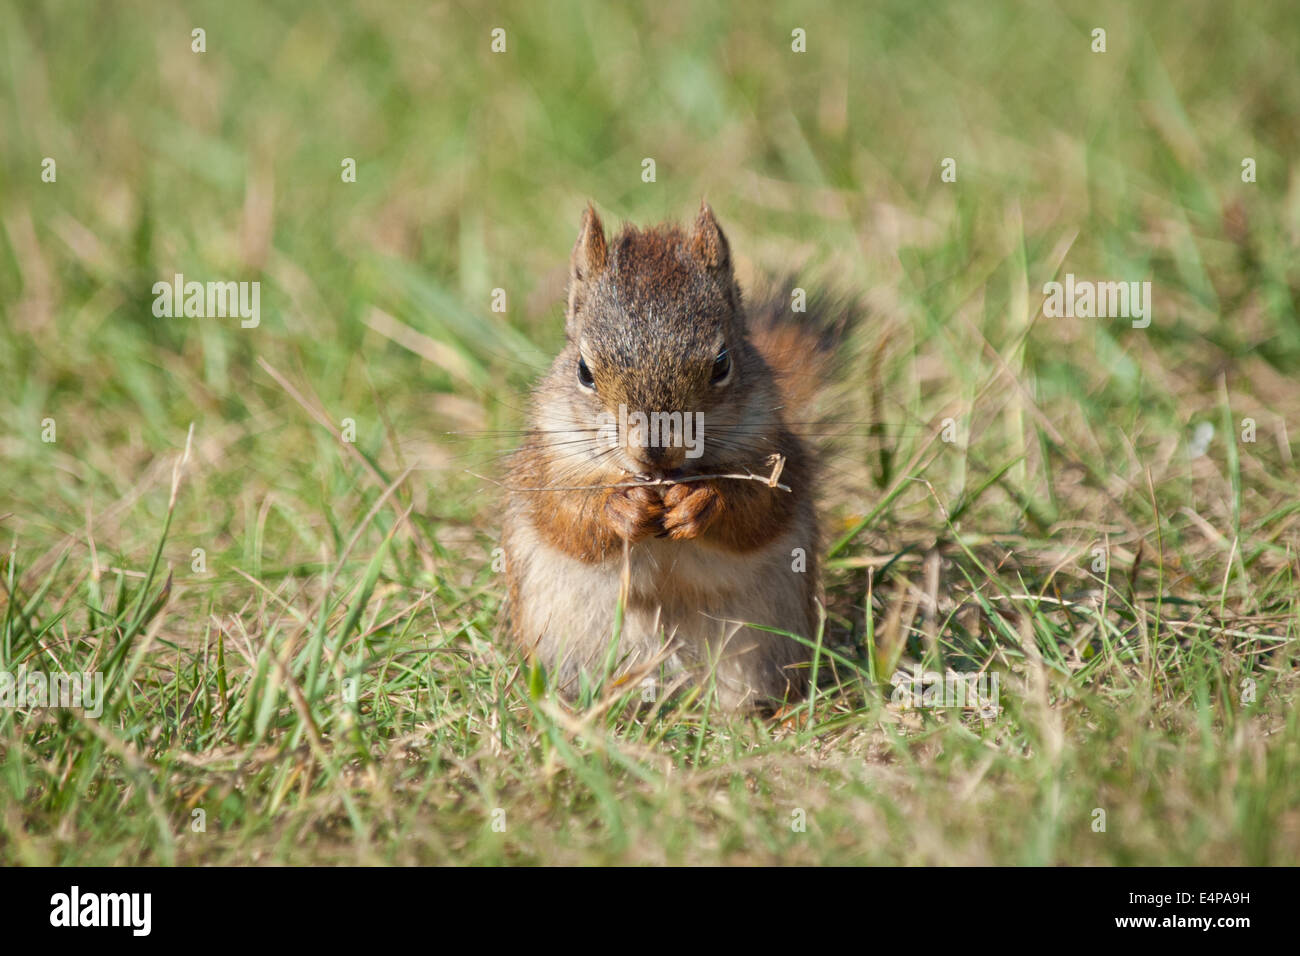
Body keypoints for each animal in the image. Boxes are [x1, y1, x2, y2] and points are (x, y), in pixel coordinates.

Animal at [501, 201, 849, 712]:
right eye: (584, 371)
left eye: (722, 363)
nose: (655, 449)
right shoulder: (544, 464)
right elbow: (566, 515)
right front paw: (620, 507)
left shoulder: (778, 456)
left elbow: (758, 512)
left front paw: (702, 502)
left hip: (754, 649)